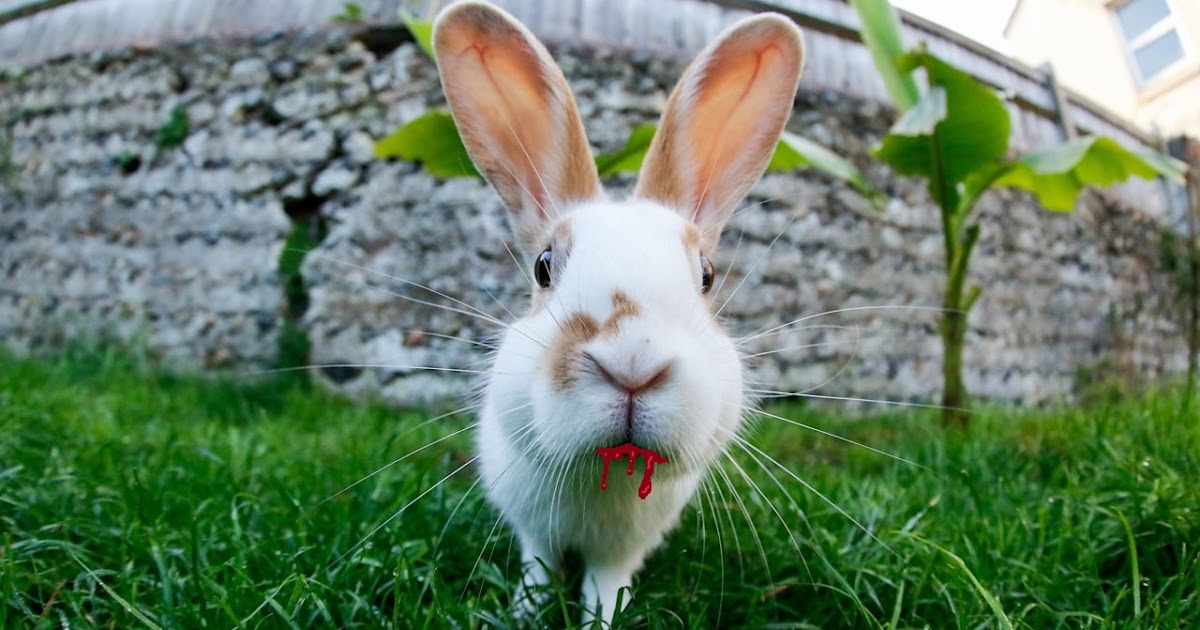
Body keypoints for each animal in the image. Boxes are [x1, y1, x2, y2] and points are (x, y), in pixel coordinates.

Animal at [432, 1, 805, 624]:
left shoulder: (623, 550)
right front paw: (523, 613)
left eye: (706, 275)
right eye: (543, 267)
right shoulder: (534, 529)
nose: (633, 365)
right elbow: (538, 568)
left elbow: (606, 586)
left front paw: (602, 620)